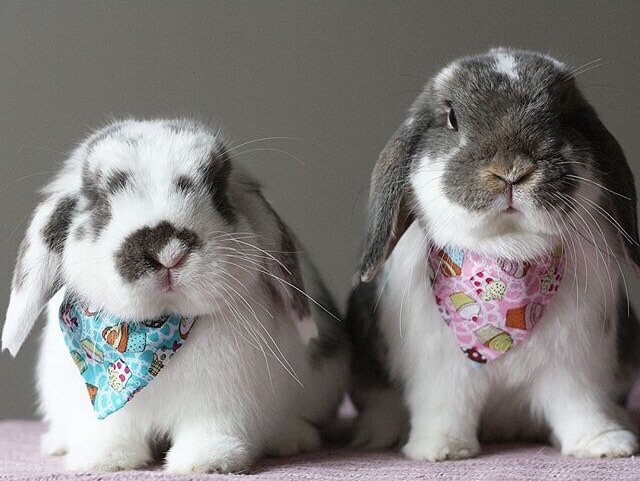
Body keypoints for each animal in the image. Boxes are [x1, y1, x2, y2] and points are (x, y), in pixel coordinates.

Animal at [2, 118, 349, 473]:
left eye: (217, 190)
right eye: (99, 199)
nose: (167, 251)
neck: (158, 331)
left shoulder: (223, 403)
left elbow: (211, 431)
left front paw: (207, 462)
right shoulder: (108, 413)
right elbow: (113, 433)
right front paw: (103, 460)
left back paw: (293, 438)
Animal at [347, 48, 640, 461]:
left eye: (564, 115)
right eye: (452, 117)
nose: (511, 170)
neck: (507, 256)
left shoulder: (575, 367)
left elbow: (581, 405)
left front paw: (605, 444)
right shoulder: (442, 373)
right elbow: (445, 408)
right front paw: (441, 449)